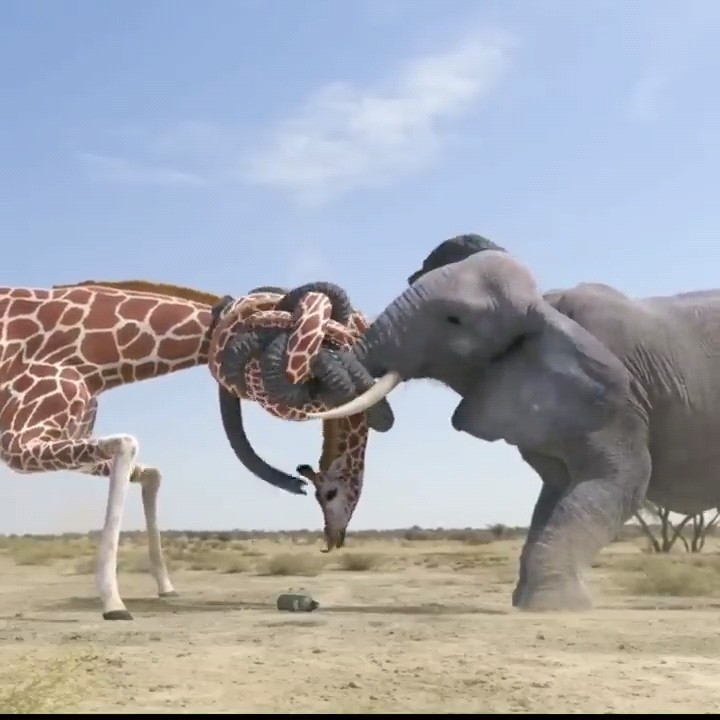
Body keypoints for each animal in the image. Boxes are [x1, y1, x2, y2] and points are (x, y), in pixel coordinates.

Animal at [0, 279, 374, 619]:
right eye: (327, 492)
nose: (336, 535)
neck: (94, 357)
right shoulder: (19, 441)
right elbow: (127, 444)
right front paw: (113, 603)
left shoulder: (55, 436)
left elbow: (150, 473)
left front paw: (165, 587)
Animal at [308, 233, 720, 611]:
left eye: (455, 320)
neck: (546, 308)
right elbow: (555, 491)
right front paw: (528, 602)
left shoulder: (618, 399)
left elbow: (621, 479)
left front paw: (553, 605)